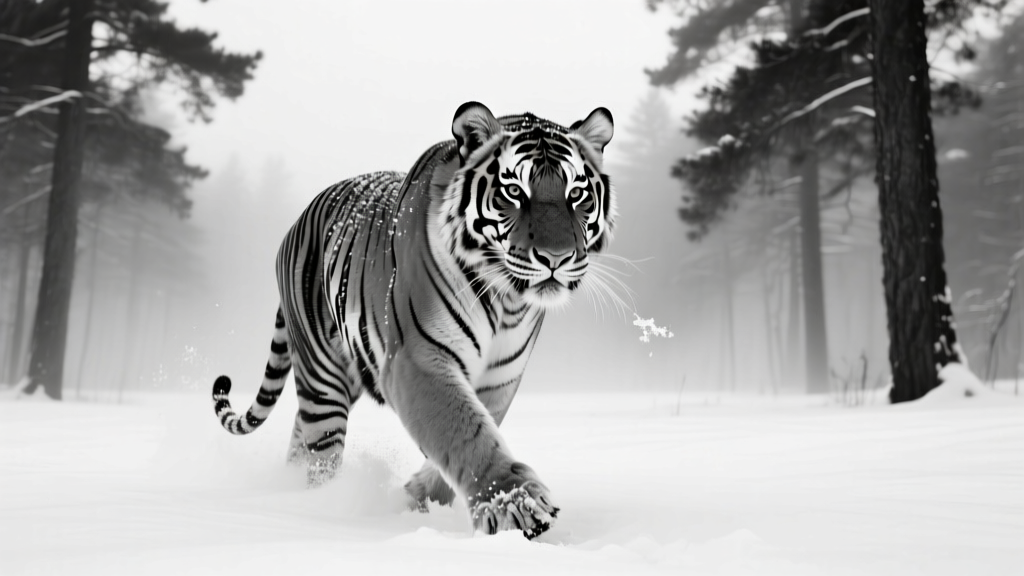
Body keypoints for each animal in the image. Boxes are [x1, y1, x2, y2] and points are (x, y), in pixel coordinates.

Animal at [211, 102, 615, 539]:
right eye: (514, 192)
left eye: (576, 194)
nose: (557, 258)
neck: (507, 301)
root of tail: (296, 221)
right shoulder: (417, 360)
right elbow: (463, 431)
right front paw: (515, 505)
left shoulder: (499, 379)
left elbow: (472, 434)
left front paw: (415, 499)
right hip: (322, 379)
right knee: (321, 453)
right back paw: (324, 507)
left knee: (298, 442)